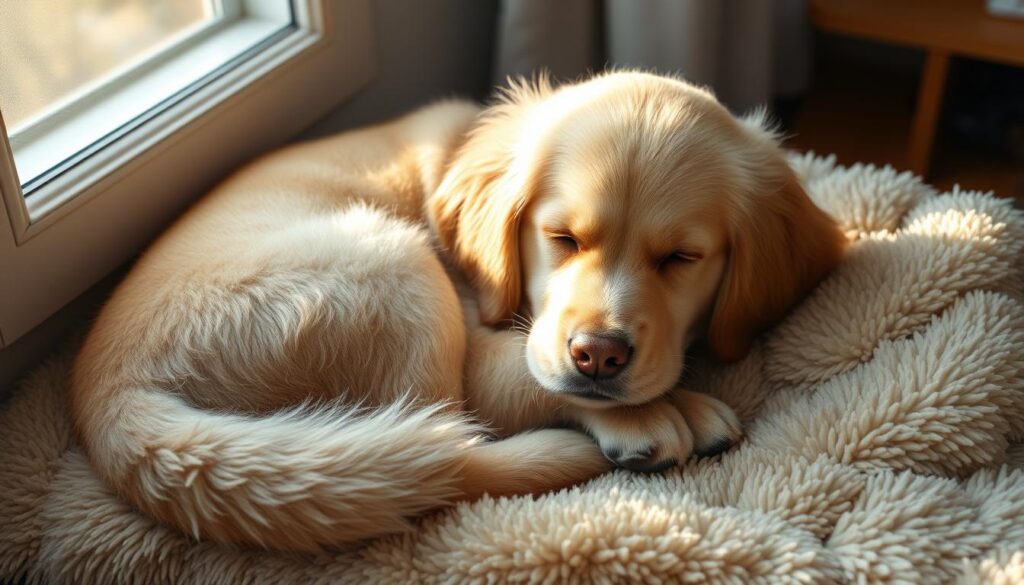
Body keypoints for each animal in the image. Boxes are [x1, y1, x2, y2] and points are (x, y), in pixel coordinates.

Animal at [68, 71, 843, 553]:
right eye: (562, 238)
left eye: (682, 257)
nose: (598, 354)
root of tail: (107, 398)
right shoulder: (493, 343)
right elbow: (529, 376)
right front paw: (663, 410)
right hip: (392, 265)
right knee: (445, 448)